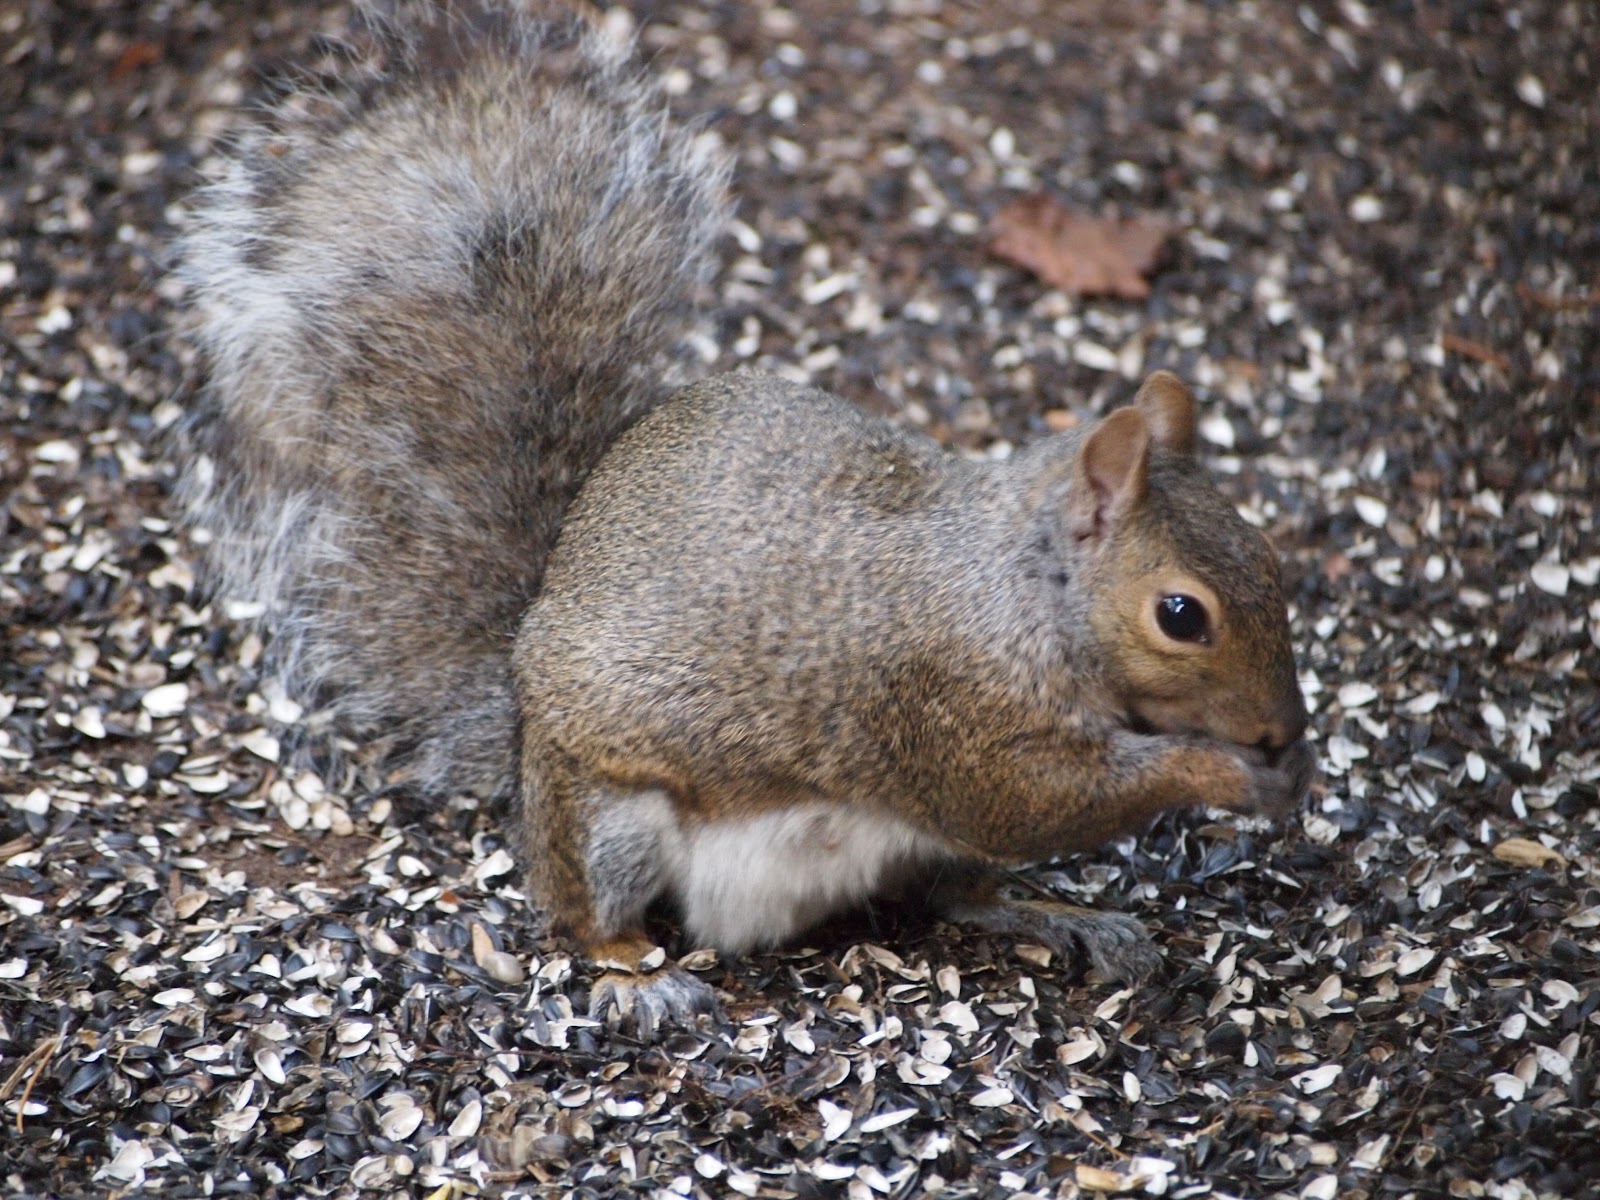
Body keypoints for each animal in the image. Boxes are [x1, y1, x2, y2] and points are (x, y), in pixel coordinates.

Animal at [176, 1, 1314, 1030]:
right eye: (1180, 615)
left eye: (1273, 560)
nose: (1282, 729)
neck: (1022, 588)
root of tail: (522, 695)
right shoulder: (943, 703)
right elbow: (1034, 799)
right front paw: (1227, 773)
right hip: (611, 816)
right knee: (578, 914)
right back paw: (637, 970)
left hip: (901, 843)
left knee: (956, 893)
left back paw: (1059, 916)